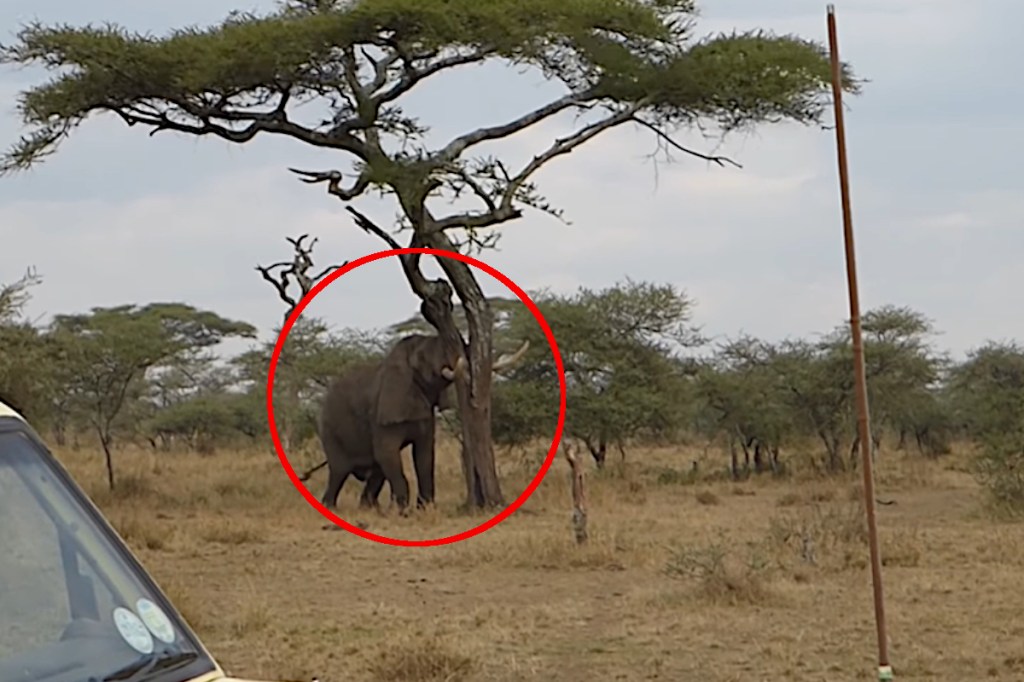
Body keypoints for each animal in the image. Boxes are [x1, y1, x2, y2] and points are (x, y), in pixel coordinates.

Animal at [312, 332, 530, 515]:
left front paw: (424, 508)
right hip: (329, 431)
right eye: (424, 357)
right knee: (340, 471)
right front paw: (402, 511)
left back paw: (370, 509)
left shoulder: (426, 414)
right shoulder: (384, 412)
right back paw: (331, 507)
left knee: (376, 471)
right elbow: (387, 452)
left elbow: (424, 455)